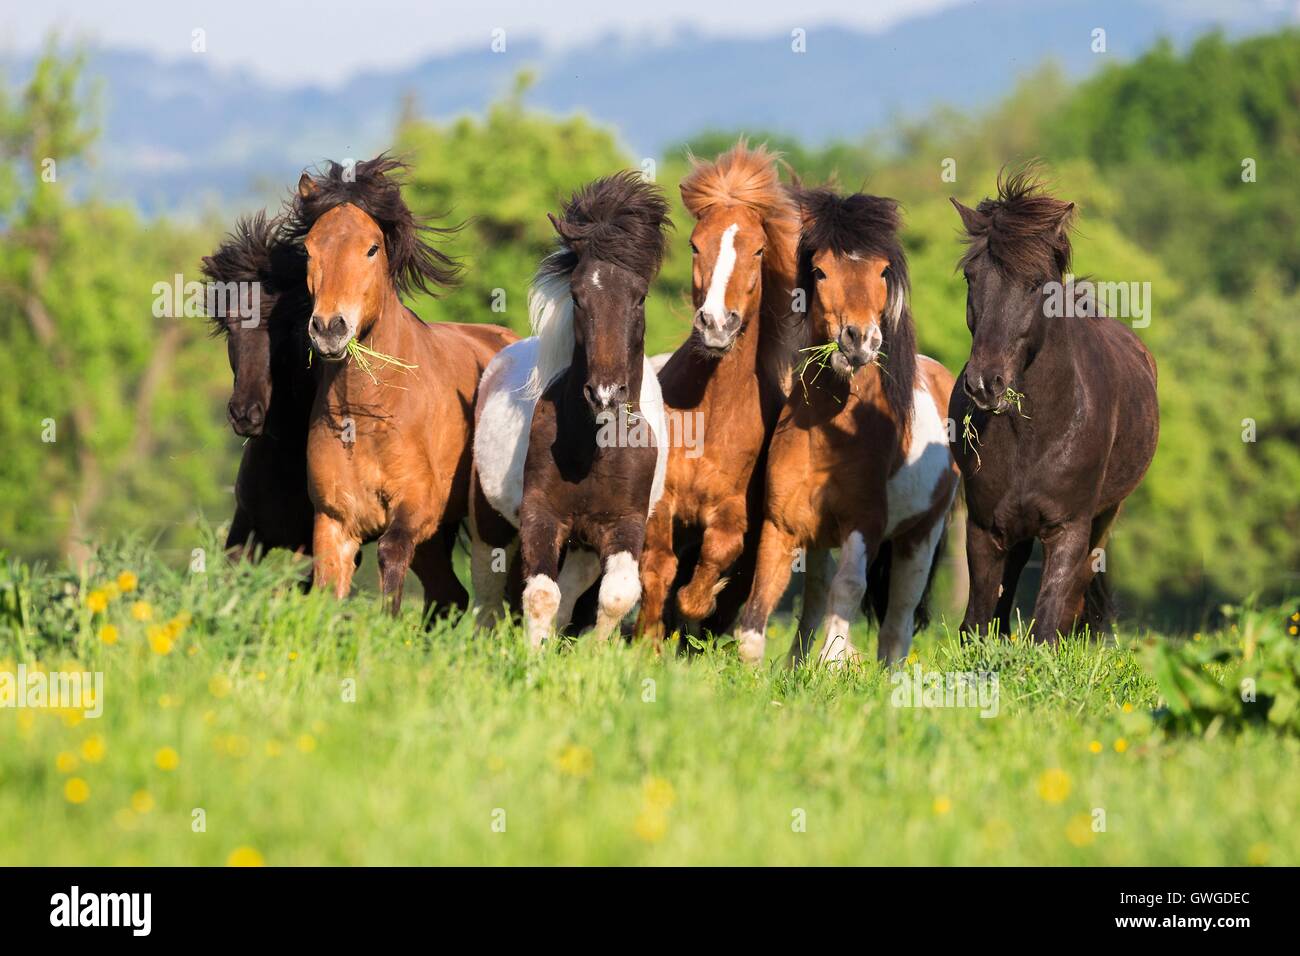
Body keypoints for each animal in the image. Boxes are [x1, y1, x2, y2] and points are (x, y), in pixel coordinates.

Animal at [288, 155, 517, 616]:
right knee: (449, 594)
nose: (329, 330)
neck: (365, 413)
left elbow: (391, 554)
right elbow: (326, 588)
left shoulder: (415, 508)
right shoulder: (335, 520)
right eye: (310, 249)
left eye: (372, 248)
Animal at [470, 172, 671, 649]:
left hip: (583, 548)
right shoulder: (541, 516)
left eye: (640, 297)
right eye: (578, 297)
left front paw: (593, 657)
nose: (605, 394)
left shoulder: (624, 524)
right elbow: (540, 594)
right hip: (490, 523)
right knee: (487, 596)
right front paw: (530, 658)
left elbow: (616, 595)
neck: (594, 447)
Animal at [636, 142, 805, 645]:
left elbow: (709, 571)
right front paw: (645, 644)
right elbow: (658, 571)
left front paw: (696, 607)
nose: (715, 324)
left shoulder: (731, 514)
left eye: (759, 249)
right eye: (696, 244)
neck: (709, 416)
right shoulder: (662, 504)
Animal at [735, 188, 959, 666]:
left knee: (897, 623)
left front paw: (834, 663)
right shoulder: (783, 525)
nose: (860, 341)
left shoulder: (864, 525)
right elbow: (762, 603)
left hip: (919, 539)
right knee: (816, 598)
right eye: (820, 270)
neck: (829, 434)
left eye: (882, 270)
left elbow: (849, 590)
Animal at [949, 168, 1158, 642]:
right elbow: (978, 622)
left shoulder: (1068, 530)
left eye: (1035, 283)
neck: (1035, 434)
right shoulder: (985, 528)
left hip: (1103, 519)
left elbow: (1047, 623)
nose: (985, 383)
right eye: (971, 276)